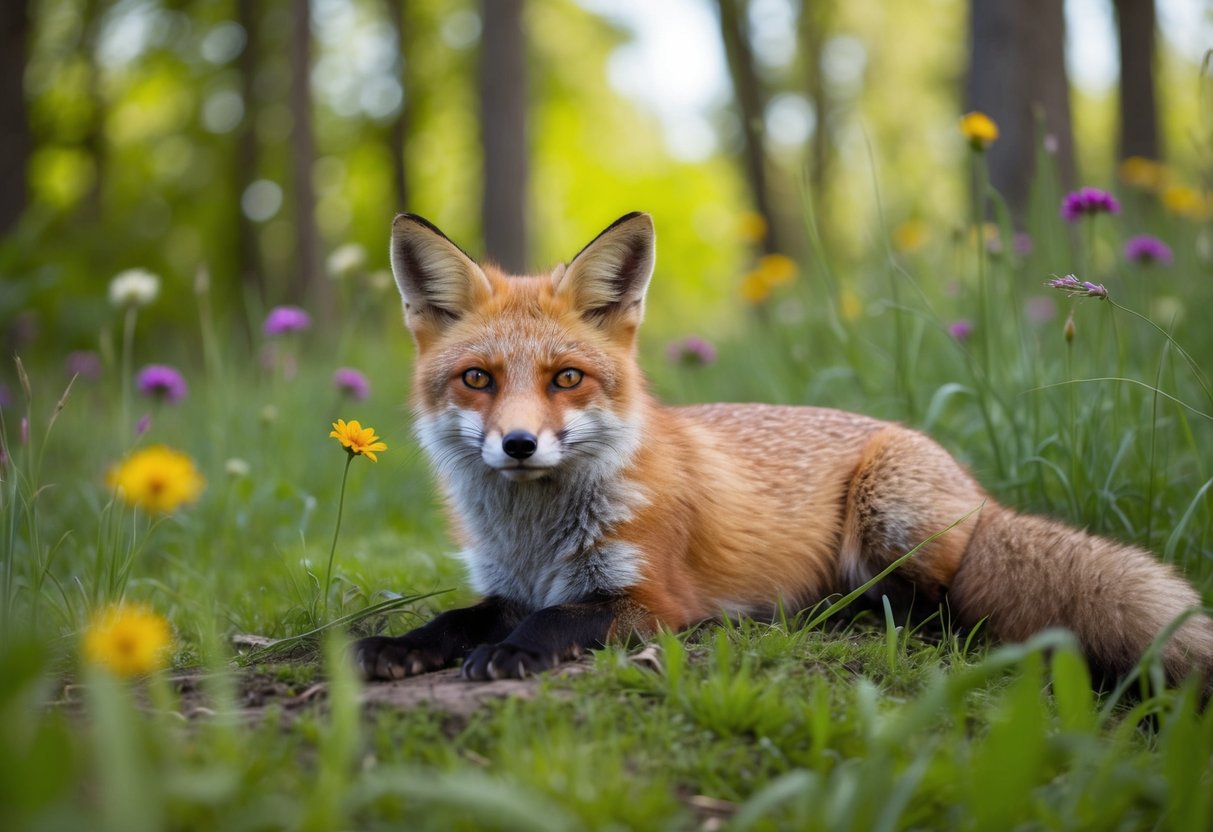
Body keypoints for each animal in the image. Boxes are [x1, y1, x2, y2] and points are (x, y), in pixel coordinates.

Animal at [354, 211, 1213, 688]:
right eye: (477, 379)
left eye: (566, 377)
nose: (520, 444)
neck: (534, 539)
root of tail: (976, 488)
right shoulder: (508, 585)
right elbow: (457, 618)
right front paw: (401, 645)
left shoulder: (649, 600)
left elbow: (553, 624)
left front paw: (510, 654)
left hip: (887, 518)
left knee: (932, 612)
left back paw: (819, 610)